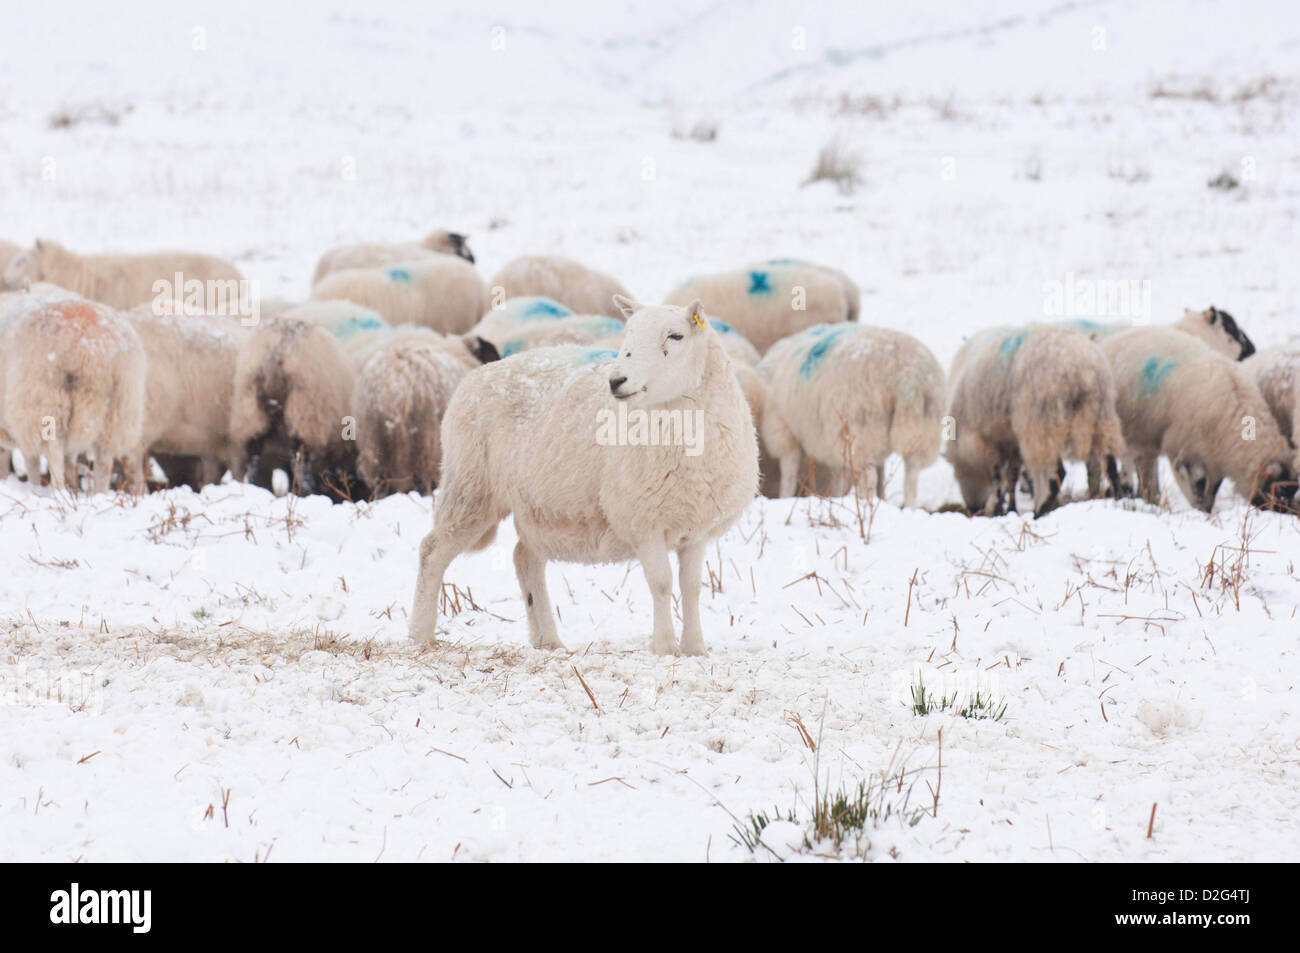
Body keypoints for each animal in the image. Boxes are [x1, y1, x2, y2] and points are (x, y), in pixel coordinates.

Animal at [2, 295, 146, 492]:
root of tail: (92, 348)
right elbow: (69, 459)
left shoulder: (22, 421)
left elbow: (32, 462)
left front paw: (34, 487)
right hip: (120, 405)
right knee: (104, 461)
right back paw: (98, 493)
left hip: (47, 399)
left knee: (54, 455)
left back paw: (58, 491)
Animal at [409, 296, 758, 655]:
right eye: (628, 333)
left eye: (675, 336)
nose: (616, 381)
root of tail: (475, 376)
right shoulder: (643, 521)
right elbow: (661, 583)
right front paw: (664, 647)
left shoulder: (697, 527)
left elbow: (691, 588)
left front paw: (694, 648)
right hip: (470, 487)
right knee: (432, 550)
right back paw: (420, 634)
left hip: (533, 503)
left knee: (525, 559)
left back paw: (548, 640)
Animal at [756, 324, 944, 507]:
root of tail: (907, 372)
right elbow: (841, 474)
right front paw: (837, 497)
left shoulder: (783, 430)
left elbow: (789, 473)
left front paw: (784, 498)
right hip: (924, 428)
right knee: (912, 475)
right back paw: (908, 508)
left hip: (863, 429)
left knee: (869, 478)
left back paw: (865, 504)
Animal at [946, 326, 1126, 517]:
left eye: (958, 475)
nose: (973, 508)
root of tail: (1085, 371)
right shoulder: (1011, 442)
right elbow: (1011, 476)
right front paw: (1010, 508)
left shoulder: (985, 440)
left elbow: (998, 478)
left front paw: (998, 508)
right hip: (1102, 416)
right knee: (1110, 463)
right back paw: (1117, 500)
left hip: (1041, 423)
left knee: (1056, 473)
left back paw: (1040, 511)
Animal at [1100, 327, 1293, 511]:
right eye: (1277, 490)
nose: (1287, 512)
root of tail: (1109, 342)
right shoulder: (1183, 449)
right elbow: (1197, 486)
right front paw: (1200, 509)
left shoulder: (1213, 458)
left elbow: (1212, 489)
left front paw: (1206, 509)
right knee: (1113, 464)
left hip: (1144, 435)